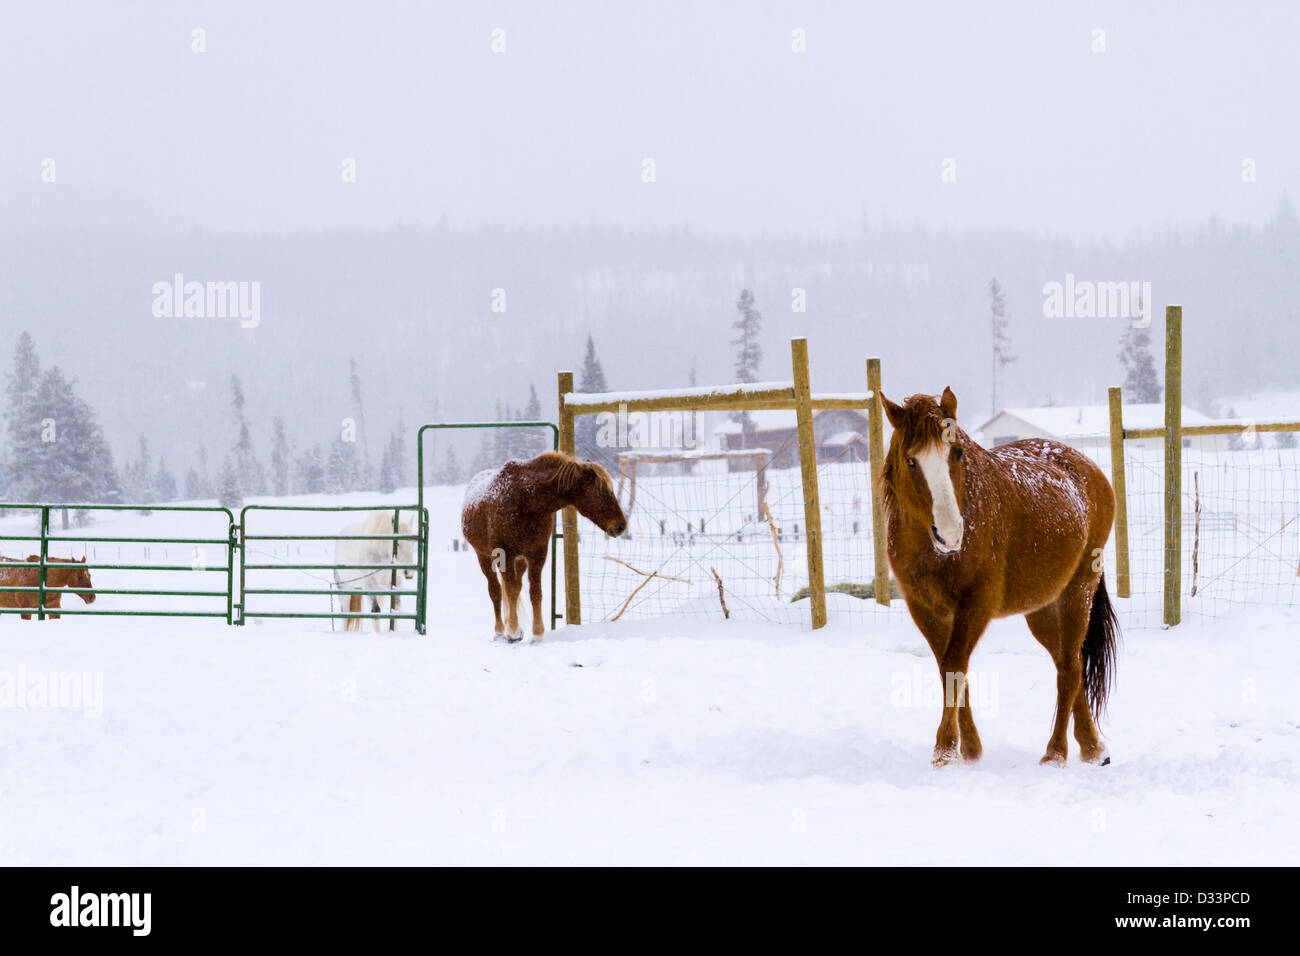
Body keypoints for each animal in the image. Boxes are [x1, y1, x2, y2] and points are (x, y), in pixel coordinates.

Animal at [462, 451, 627, 642]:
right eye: (601, 491)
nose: (621, 526)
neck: (526, 499)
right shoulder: (505, 553)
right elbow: (509, 590)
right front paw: (513, 630)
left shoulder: (537, 553)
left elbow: (534, 592)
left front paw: (537, 633)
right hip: (484, 557)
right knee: (496, 591)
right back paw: (501, 631)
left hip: (520, 560)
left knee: (515, 587)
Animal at [879, 387, 1120, 767]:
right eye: (911, 460)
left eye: (958, 452)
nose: (950, 534)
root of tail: (1087, 468)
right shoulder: (925, 608)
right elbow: (949, 669)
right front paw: (969, 749)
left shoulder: (976, 604)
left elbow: (954, 664)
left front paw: (945, 750)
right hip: (1042, 609)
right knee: (1069, 663)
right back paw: (1093, 747)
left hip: (1078, 591)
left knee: (1069, 668)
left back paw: (1056, 752)